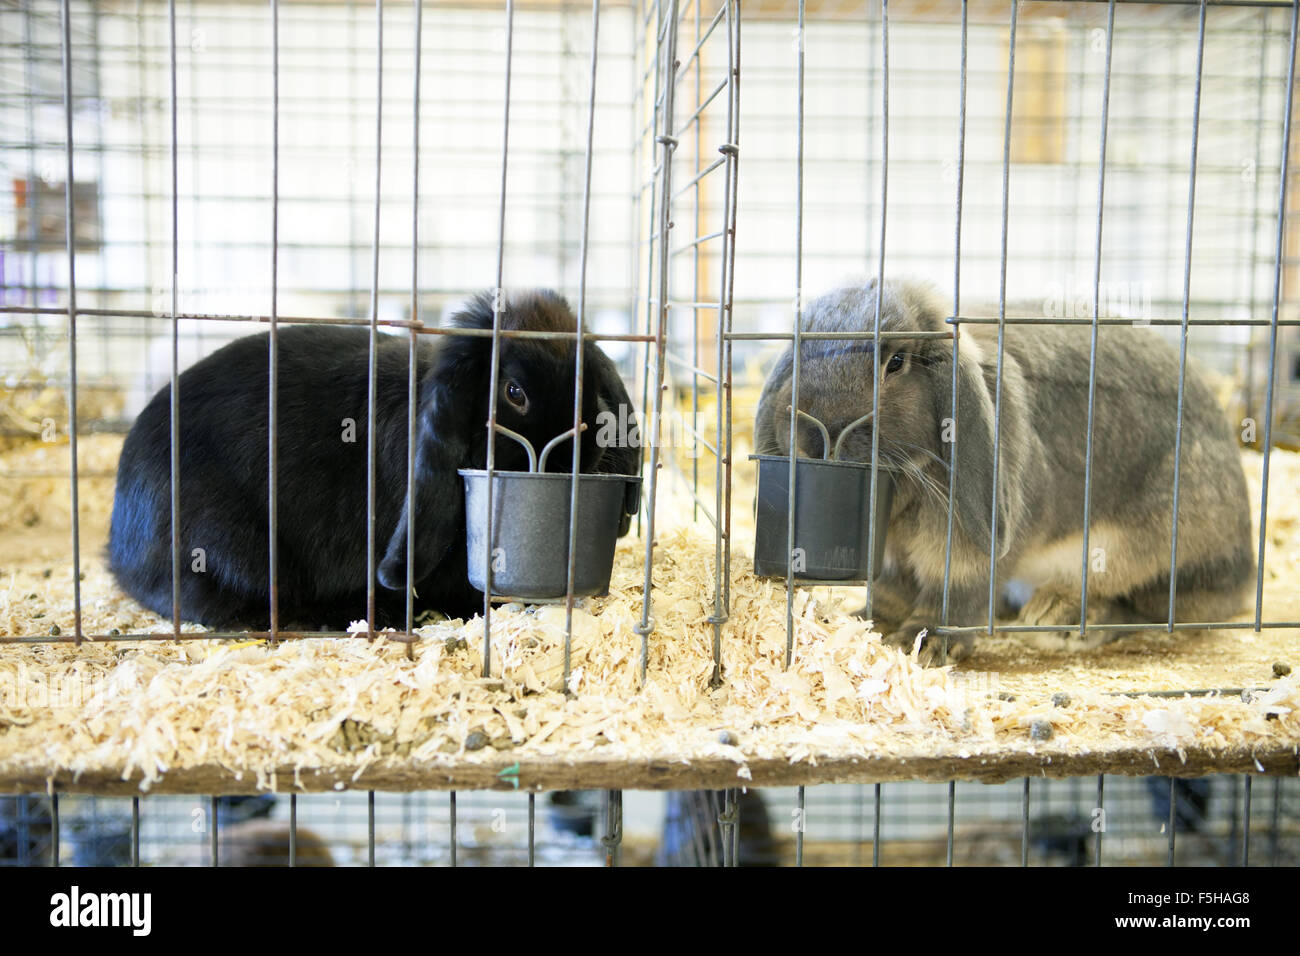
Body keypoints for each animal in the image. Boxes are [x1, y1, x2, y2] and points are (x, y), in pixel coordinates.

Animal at [754, 278, 1255, 666]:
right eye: (801, 350)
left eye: (895, 362)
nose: (818, 434)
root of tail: (1245, 569)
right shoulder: (896, 551)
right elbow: (895, 586)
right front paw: (870, 621)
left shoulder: (965, 544)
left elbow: (959, 589)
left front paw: (927, 643)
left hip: (1153, 536)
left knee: (1148, 606)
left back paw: (1059, 617)